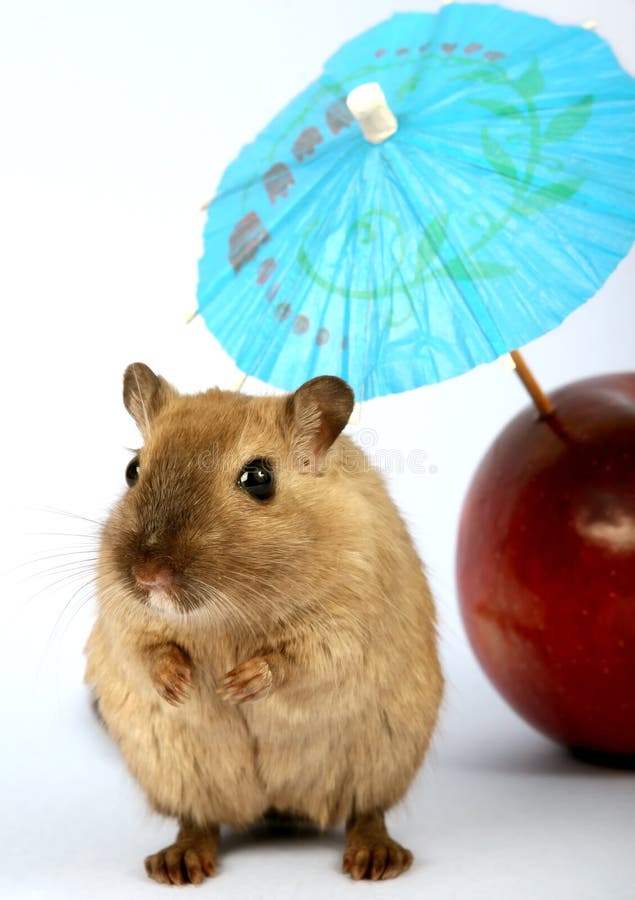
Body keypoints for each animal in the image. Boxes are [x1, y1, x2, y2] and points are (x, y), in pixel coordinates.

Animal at [84, 363, 443, 884]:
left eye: (258, 478)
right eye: (132, 472)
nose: (149, 576)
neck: (226, 612)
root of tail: (277, 807)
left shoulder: (346, 618)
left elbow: (300, 658)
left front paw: (238, 684)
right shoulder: (122, 616)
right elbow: (147, 650)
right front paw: (180, 684)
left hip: (381, 759)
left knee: (366, 811)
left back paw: (376, 857)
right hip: (178, 772)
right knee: (199, 820)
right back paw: (179, 862)